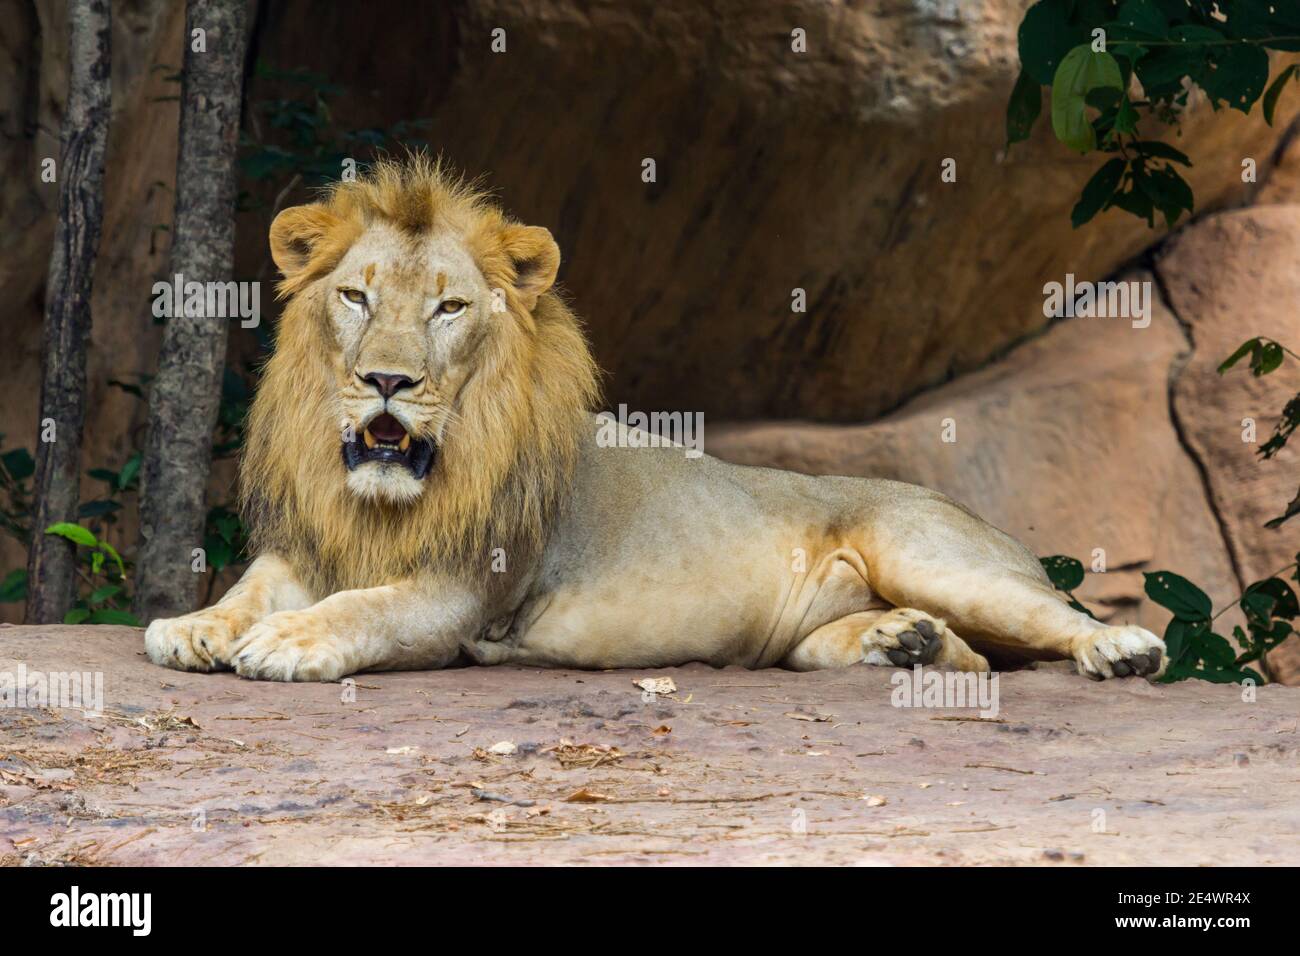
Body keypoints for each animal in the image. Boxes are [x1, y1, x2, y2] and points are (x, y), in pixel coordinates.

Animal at [144, 158, 1166, 683]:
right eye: (355, 296)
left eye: (449, 308)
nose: (386, 380)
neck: (387, 495)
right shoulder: (309, 546)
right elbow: (247, 589)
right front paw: (195, 626)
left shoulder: (463, 589)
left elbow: (368, 607)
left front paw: (288, 642)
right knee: (971, 659)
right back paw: (902, 642)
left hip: (932, 552)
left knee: (1051, 618)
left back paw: (1117, 648)